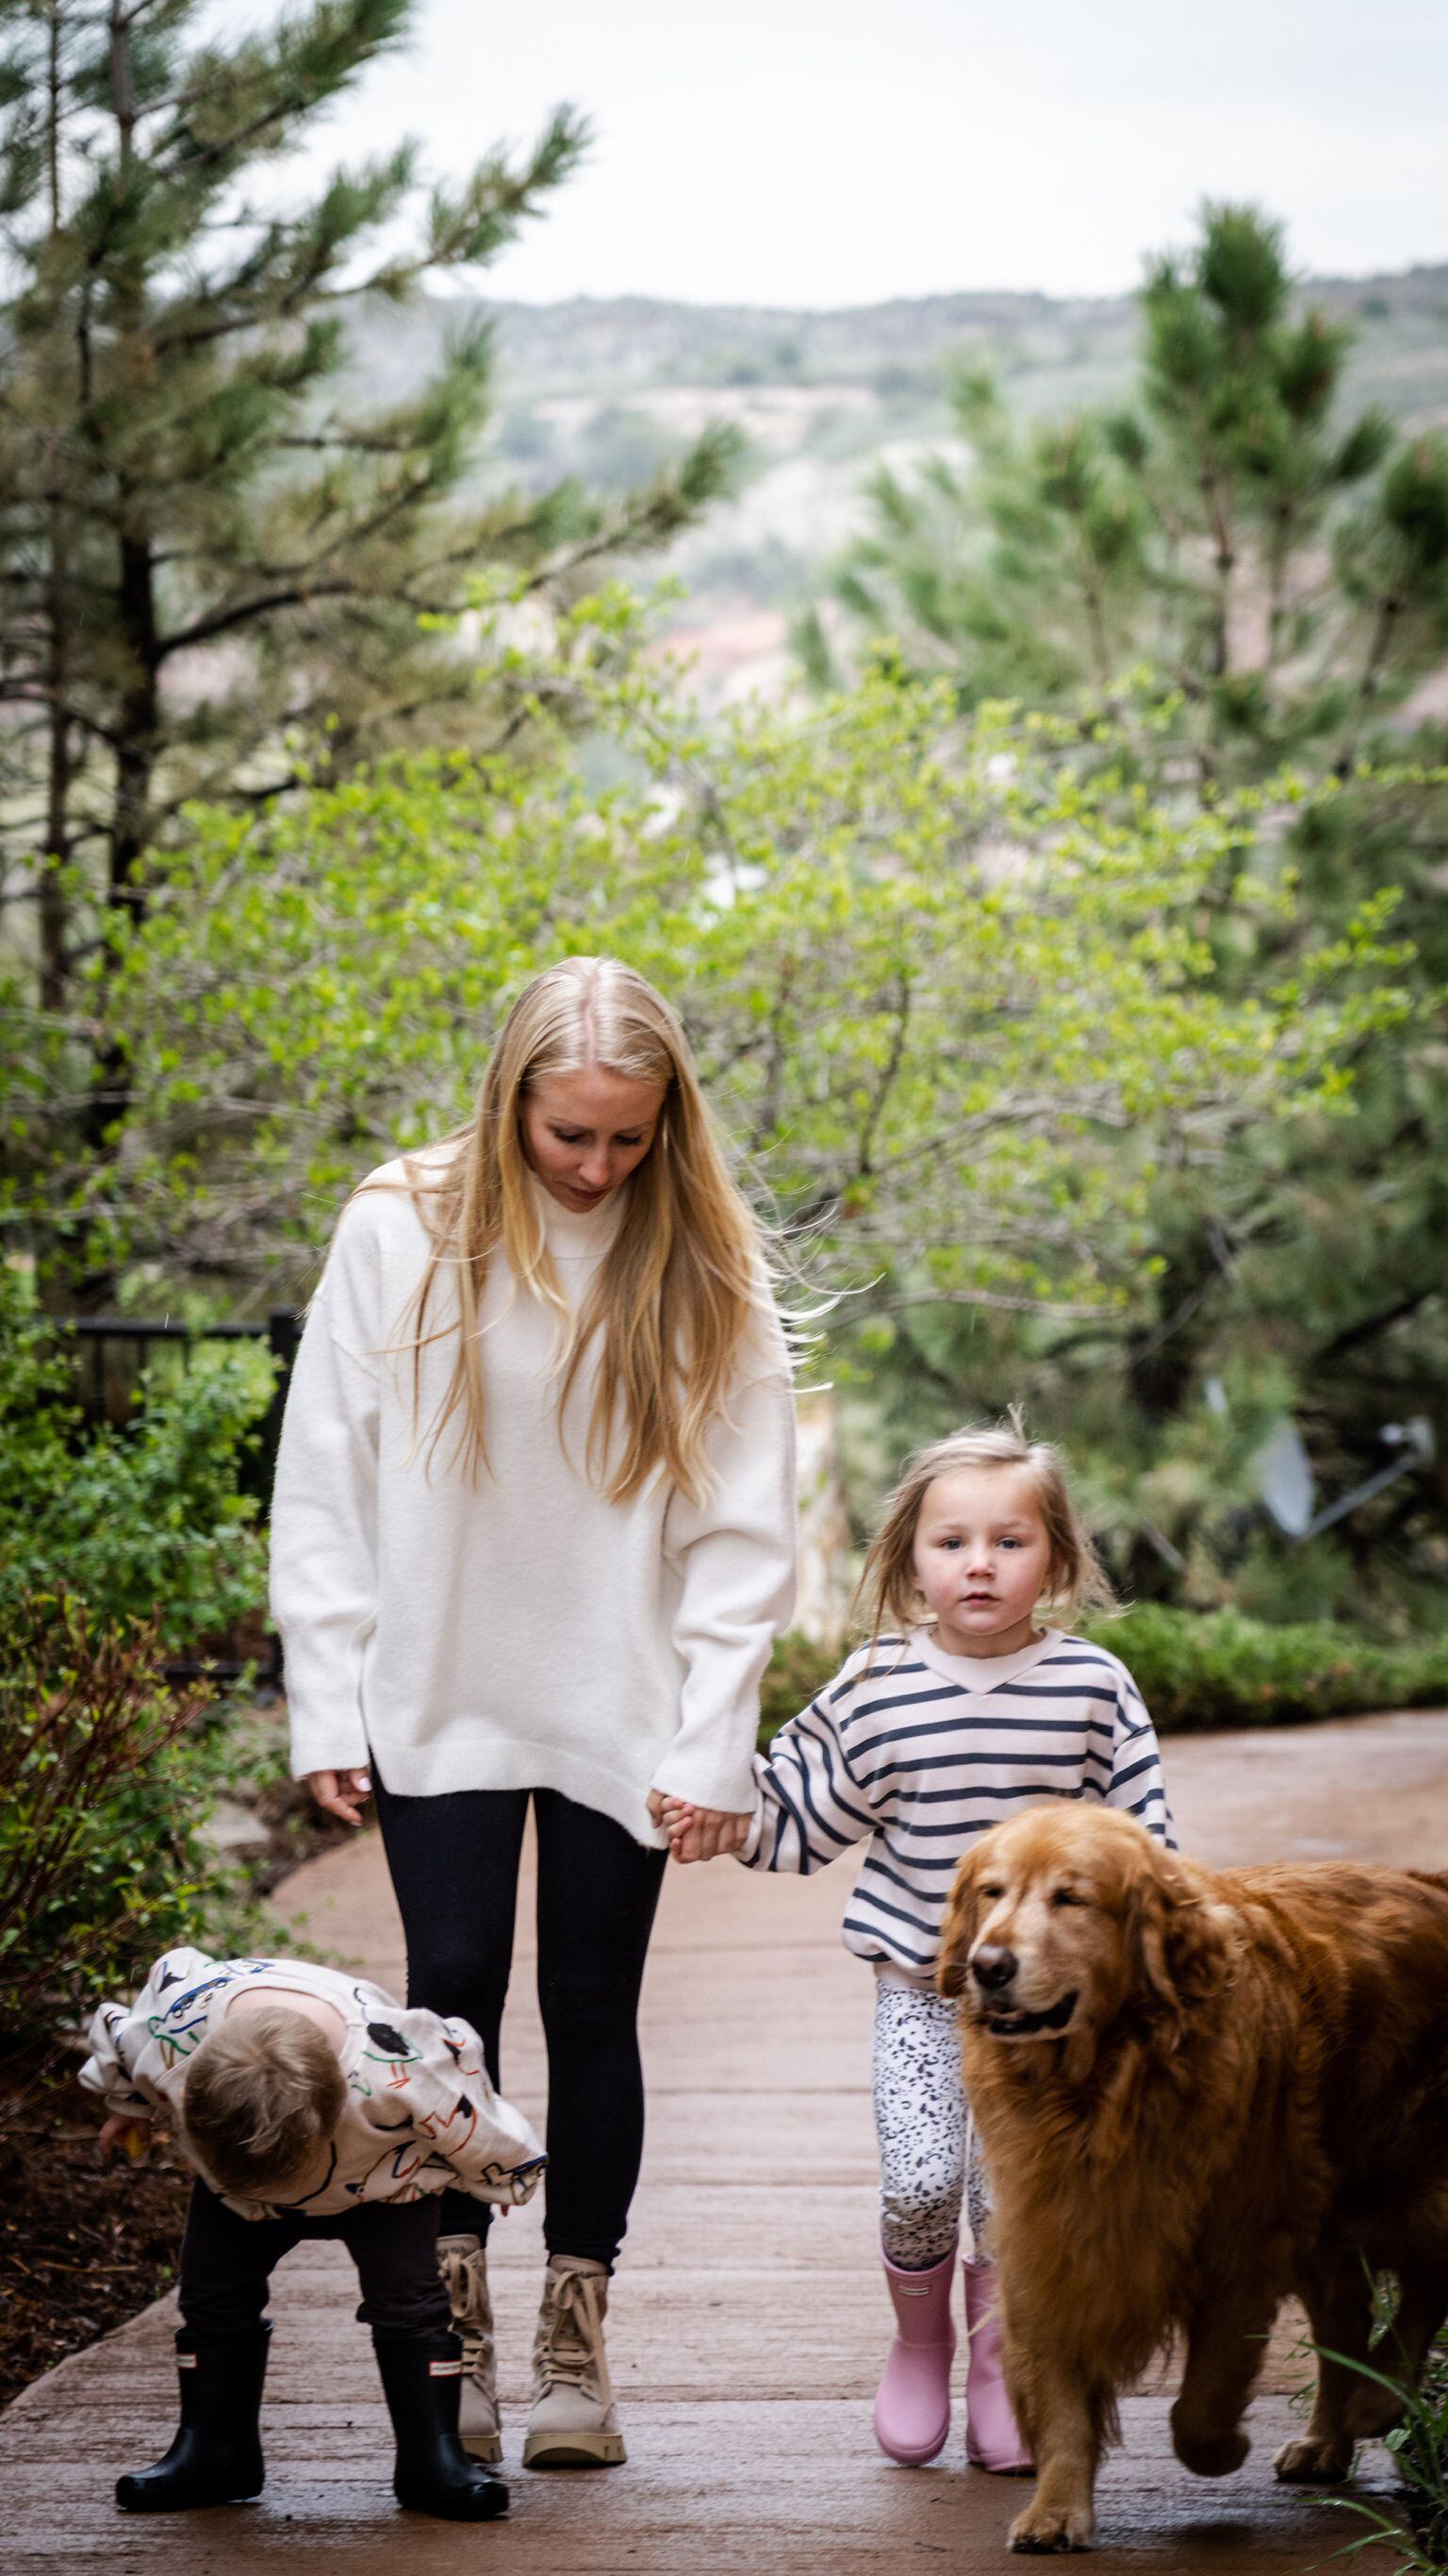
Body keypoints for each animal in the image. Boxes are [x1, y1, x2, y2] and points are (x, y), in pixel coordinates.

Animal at [937, 1803, 1448, 2553]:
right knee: (1349, 2316)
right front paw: (1056, 2510)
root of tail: (1429, 1884)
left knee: (1425, 2285)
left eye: (1070, 1898)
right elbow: (1062, 2397)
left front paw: (1222, 2447)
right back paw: (1327, 2439)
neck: (1105, 2085)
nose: (988, 1965)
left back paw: (1375, 2399)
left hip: (1395, 2178)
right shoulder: (1053, 2235)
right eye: (991, 1892)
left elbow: (1202, 2406)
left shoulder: (1240, 2244)